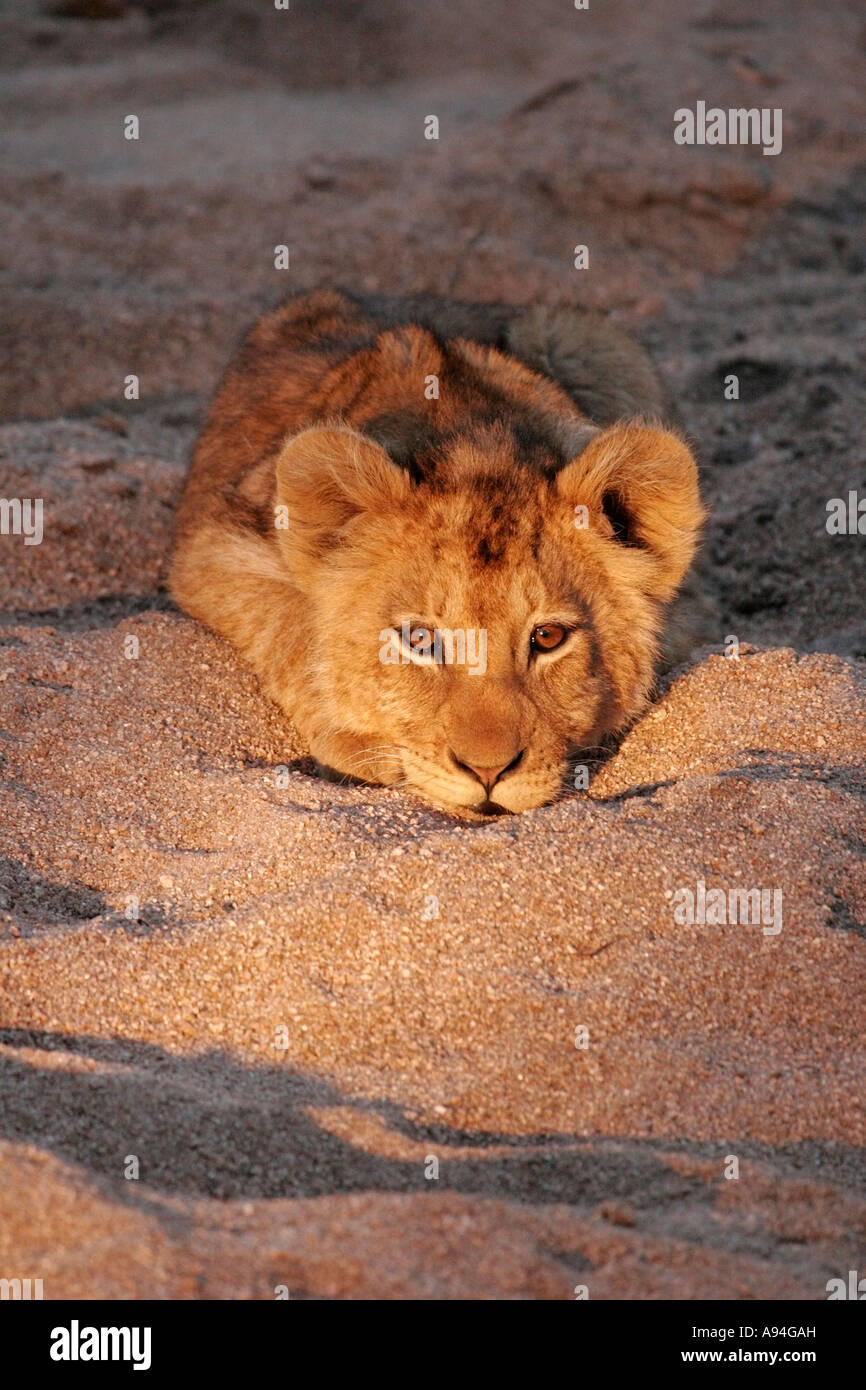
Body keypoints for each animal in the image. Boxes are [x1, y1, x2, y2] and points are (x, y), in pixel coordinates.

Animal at [170, 289, 706, 816]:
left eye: (548, 637)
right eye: (420, 640)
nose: (488, 771)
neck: (478, 443)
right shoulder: (216, 545)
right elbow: (289, 625)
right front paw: (354, 740)